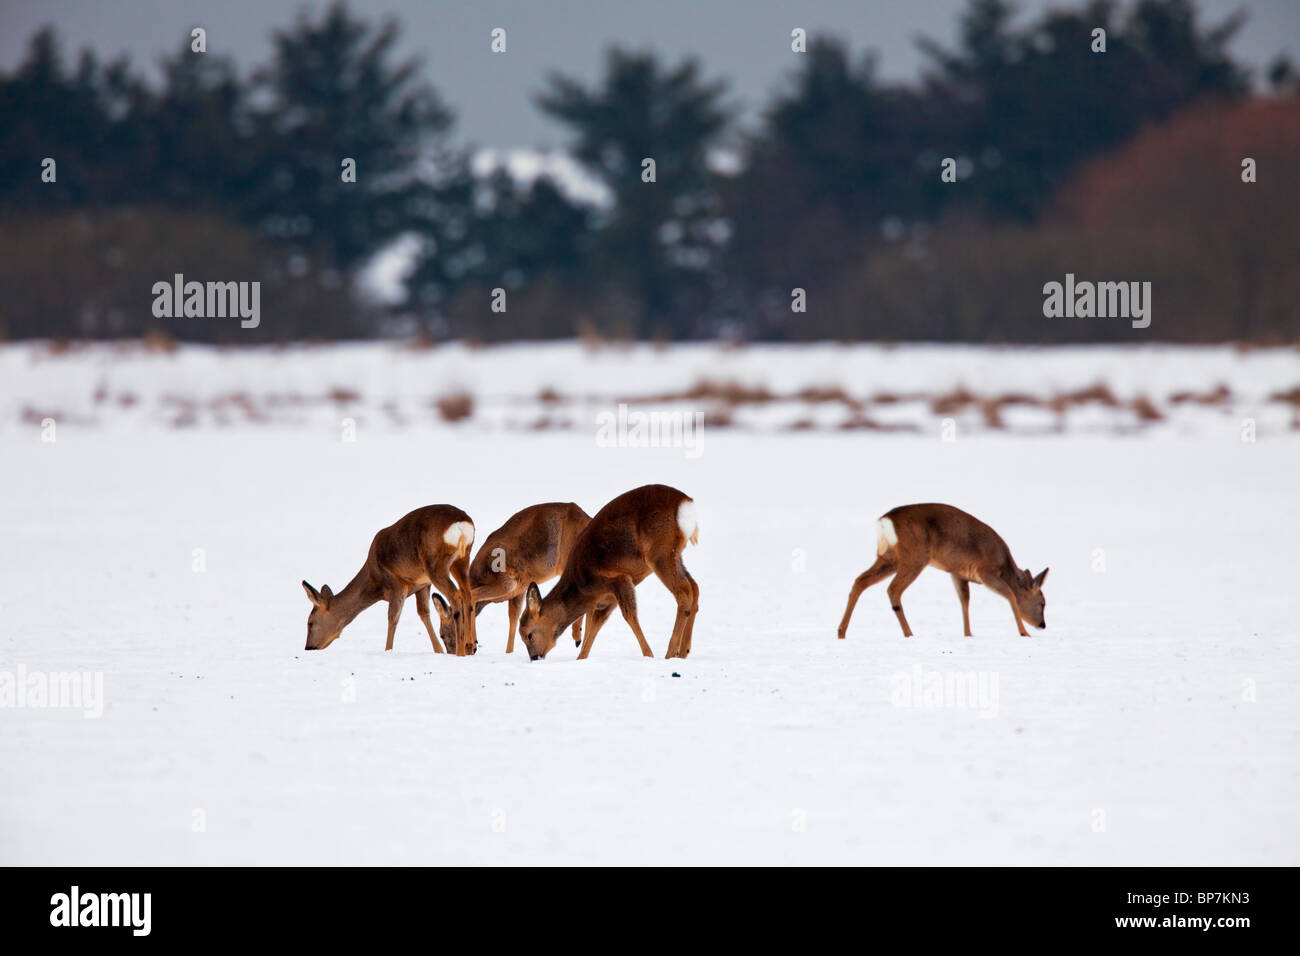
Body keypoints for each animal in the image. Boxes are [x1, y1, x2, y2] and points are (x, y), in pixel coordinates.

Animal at [301, 505, 478, 655]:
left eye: (310, 622)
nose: (308, 647)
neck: (374, 582)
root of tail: (462, 524)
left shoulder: (396, 583)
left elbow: (393, 617)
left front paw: (387, 651)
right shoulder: (422, 584)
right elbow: (423, 613)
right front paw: (439, 650)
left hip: (436, 564)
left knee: (456, 595)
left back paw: (461, 651)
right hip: (461, 560)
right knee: (468, 595)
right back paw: (470, 646)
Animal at [517, 484, 699, 661]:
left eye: (529, 635)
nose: (534, 657)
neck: (583, 588)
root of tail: (686, 503)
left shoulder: (617, 579)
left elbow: (629, 616)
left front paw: (649, 655)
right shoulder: (606, 600)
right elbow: (595, 626)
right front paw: (581, 658)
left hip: (660, 553)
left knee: (684, 592)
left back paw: (670, 652)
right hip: (675, 554)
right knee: (694, 587)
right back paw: (683, 651)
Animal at [836, 503, 1048, 639]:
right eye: (1042, 602)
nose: (1042, 625)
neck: (1005, 567)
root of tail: (884, 521)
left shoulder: (957, 573)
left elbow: (964, 601)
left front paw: (968, 634)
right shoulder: (986, 572)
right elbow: (1011, 595)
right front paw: (1024, 633)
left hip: (889, 557)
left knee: (860, 581)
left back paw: (841, 632)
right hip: (915, 557)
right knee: (893, 589)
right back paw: (909, 633)